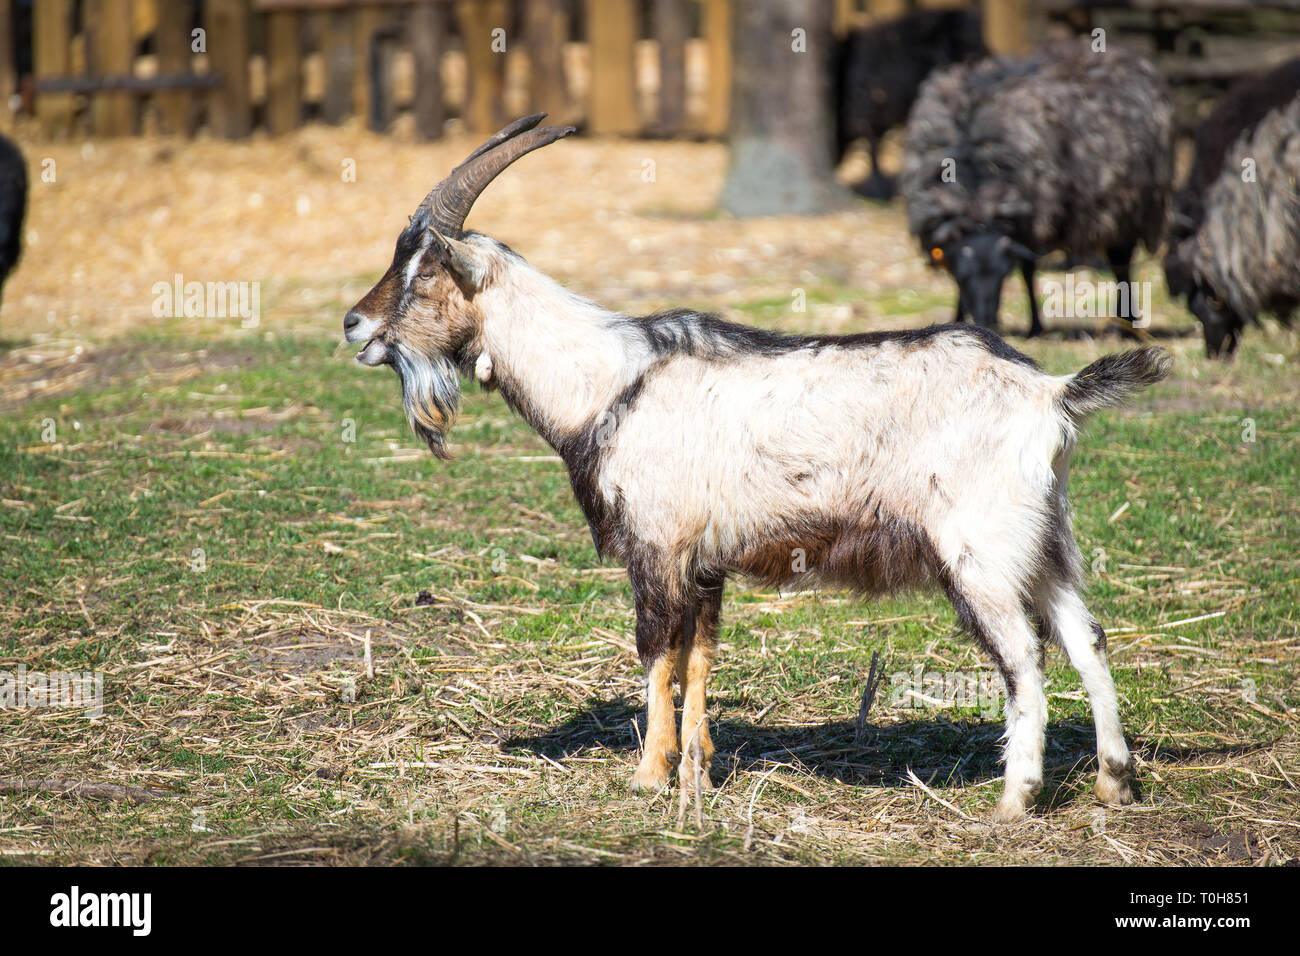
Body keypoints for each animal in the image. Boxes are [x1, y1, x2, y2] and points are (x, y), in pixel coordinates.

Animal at [343, 115, 1171, 822]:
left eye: (422, 273)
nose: (354, 323)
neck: (607, 382)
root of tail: (1050, 392)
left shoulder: (659, 546)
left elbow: (657, 654)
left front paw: (648, 776)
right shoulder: (708, 560)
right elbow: (700, 658)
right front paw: (697, 771)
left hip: (982, 549)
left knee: (1026, 656)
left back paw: (1015, 798)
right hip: (1045, 538)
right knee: (1088, 637)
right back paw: (1115, 782)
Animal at [901, 39, 1174, 337]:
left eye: (1002, 272)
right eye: (963, 274)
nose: (987, 321)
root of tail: (1126, 55)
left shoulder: (1033, 216)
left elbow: (1028, 270)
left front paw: (1035, 326)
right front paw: (958, 319)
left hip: (1131, 203)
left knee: (1121, 260)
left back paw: (1127, 322)